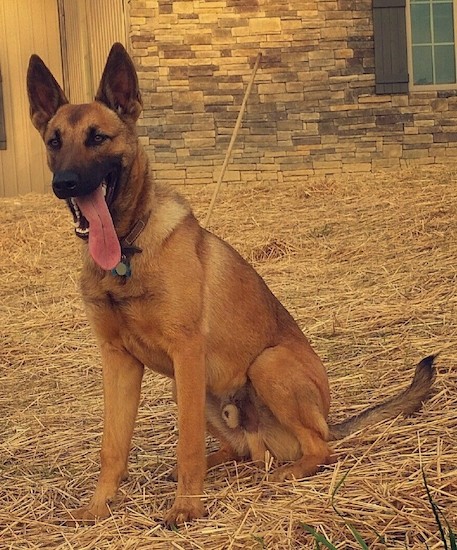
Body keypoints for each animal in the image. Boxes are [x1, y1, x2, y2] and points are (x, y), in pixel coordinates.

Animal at [26, 42, 436, 528]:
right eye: (54, 142)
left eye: (97, 138)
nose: (64, 182)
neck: (127, 251)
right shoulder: (119, 361)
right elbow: (113, 446)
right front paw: (97, 507)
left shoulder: (185, 351)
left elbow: (185, 443)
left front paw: (186, 507)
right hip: (192, 388)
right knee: (240, 450)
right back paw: (220, 460)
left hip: (265, 365)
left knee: (321, 448)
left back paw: (287, 471)